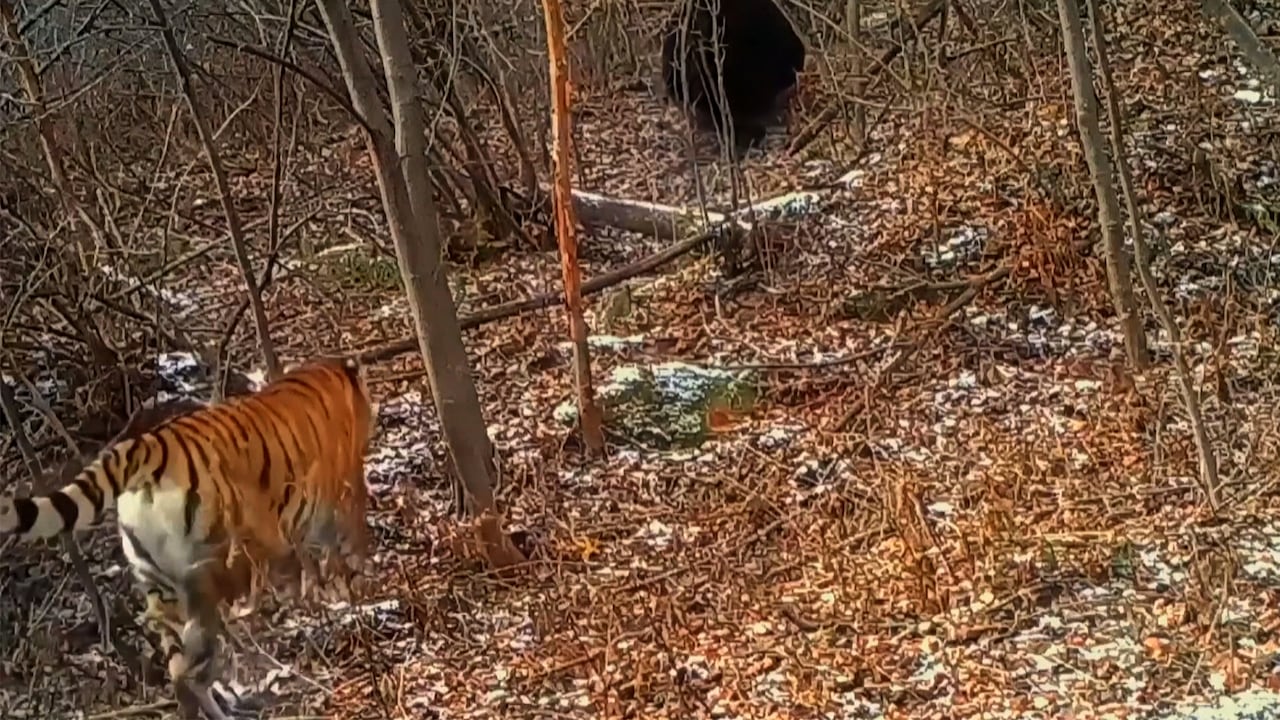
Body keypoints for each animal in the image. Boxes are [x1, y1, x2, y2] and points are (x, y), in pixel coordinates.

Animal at [0, 356, 377, 720]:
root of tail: (145, 445)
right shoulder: (343, 493)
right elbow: (344, 545)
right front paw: (352, 586)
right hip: (215, 561)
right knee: (194, 657)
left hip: (159, 584)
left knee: (179, 666)